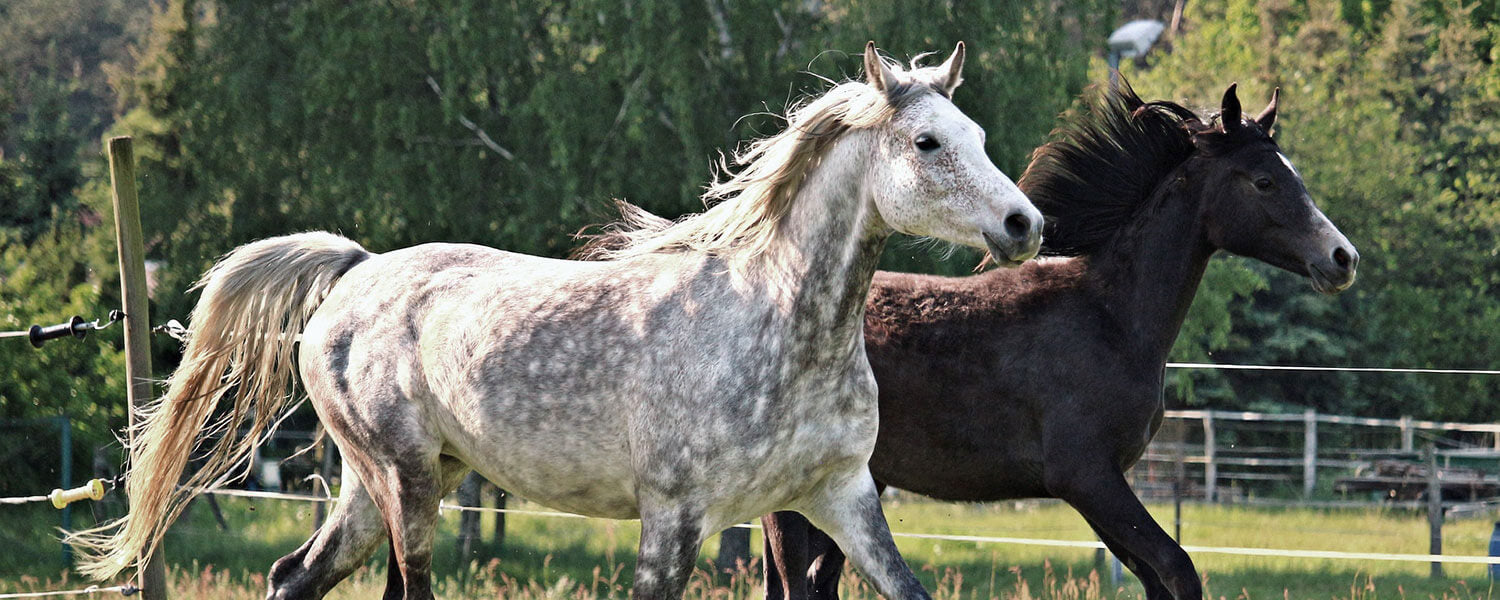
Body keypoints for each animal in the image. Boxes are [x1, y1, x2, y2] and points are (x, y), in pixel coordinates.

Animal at [71, 42, 1044, 600]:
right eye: (927, 143)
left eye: (978, 134)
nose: (1023, 225)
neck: (781, 330)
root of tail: (353, 272)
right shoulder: (674, 520)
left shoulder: (841, 496)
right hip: (404, 481)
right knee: (401, 589)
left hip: (381, 481)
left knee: (291, 577)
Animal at [760, 81, 1359, 600]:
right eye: (1264, 181)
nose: (1342, 259)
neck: (1108, 319)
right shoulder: (1087, 477)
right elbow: (1178, 569)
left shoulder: (1101, 486)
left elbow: (1156, 577)